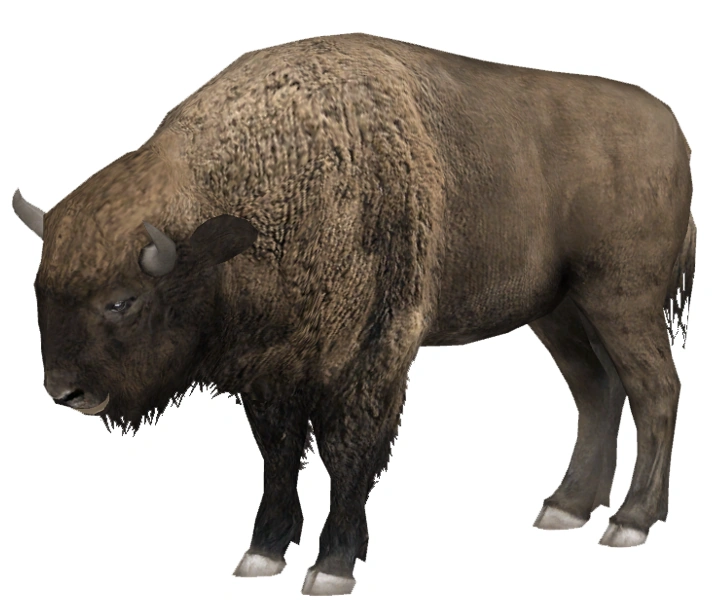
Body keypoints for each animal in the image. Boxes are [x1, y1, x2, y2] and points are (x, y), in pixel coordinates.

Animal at [13, 33, 695, 596]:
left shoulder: (369, 356)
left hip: (622, 299)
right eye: (39, 291)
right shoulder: (273, 371)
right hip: (559, 312)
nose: (65, 391)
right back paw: (566, 508)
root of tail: (673, 130)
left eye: (121, 300)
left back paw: (630, 521)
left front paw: (332, 566)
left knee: (655, 389)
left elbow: (349, 453)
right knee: (598, 390)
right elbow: (279, 454)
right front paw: (261, 553)